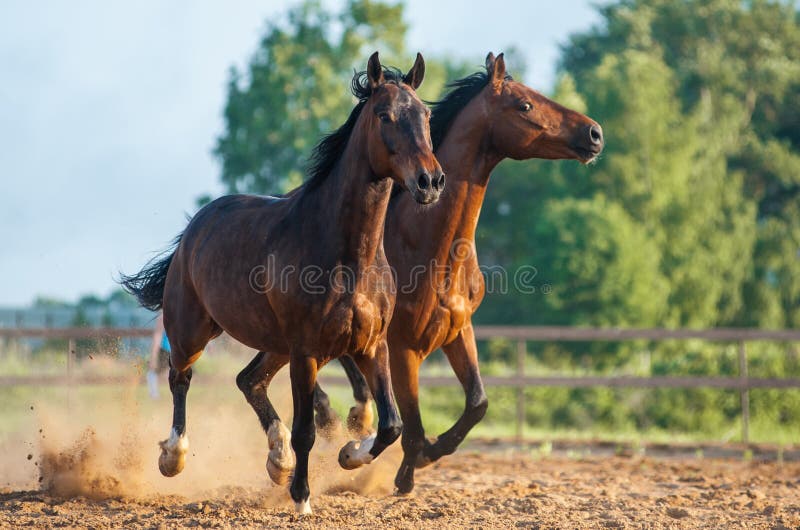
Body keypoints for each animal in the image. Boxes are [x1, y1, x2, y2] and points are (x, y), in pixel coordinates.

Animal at [120, 52, 444, 514]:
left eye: (425, 115)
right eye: (385, 115)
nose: (430, 182)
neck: (348, 255)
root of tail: (194, 228)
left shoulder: (370, 345)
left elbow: (391, 425)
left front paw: (349, 453)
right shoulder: (306, 352)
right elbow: (307, 428)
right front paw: (303, 498)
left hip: (274, 344)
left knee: (248, 380)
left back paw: (278, 458)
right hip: (192, 330)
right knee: (179, 377)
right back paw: (174, 456)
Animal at [312, 52, 605, 493]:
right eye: (525, 105)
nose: (594, 133)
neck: (430, 250)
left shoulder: (458, 331)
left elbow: (477, 403)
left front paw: (425, 455)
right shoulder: (403, 348)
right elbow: (412, 426)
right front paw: (401, 469)